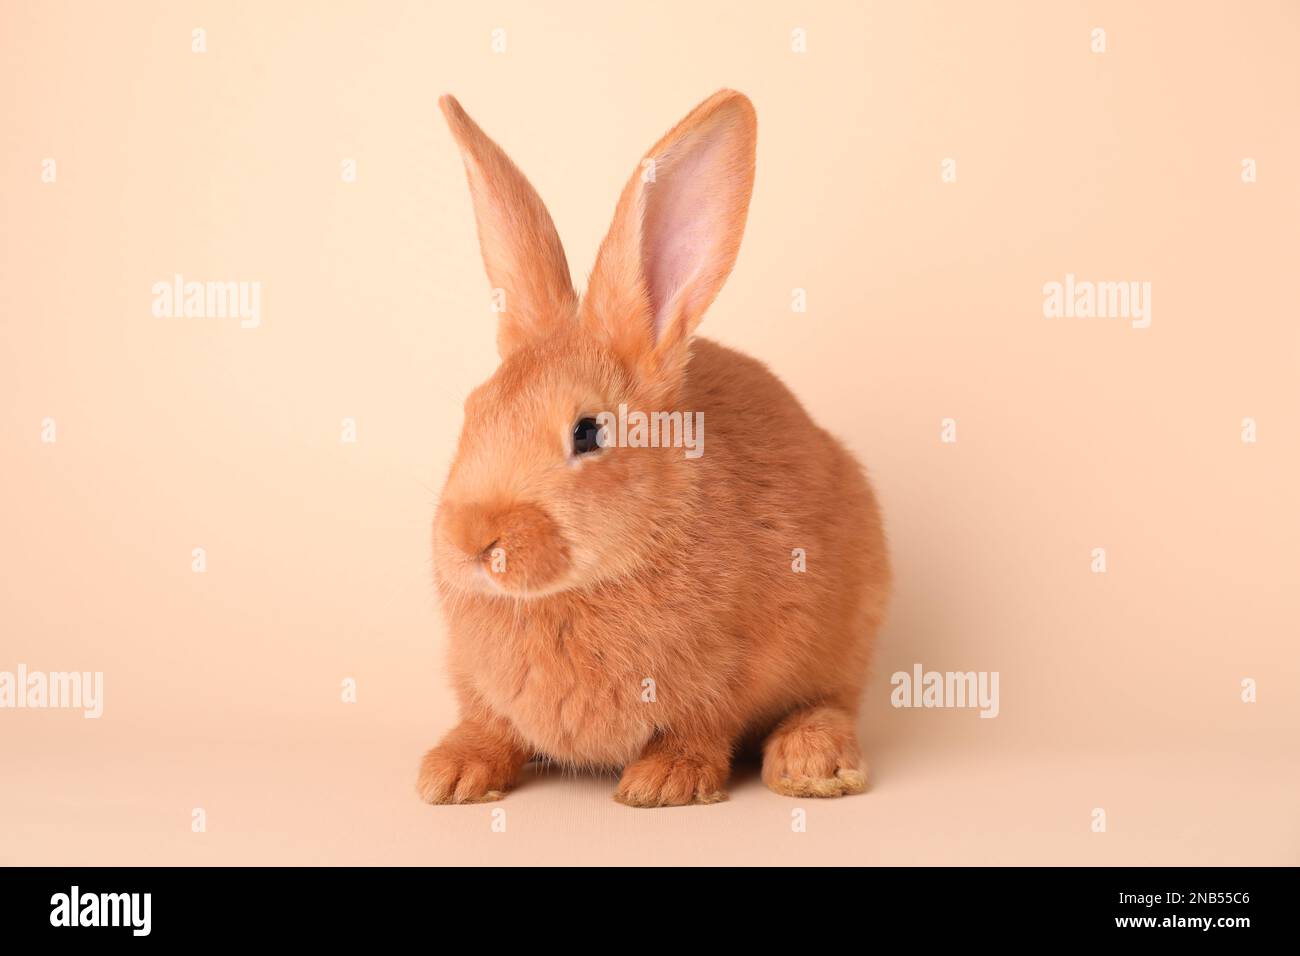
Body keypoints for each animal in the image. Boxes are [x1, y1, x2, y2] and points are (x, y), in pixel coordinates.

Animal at [417, 90, 890, 808]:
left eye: (587, 432)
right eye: (473, 411)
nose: (472, 541)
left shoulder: (734, 668)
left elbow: (702, 725)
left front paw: (664, 782)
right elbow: (489, 723)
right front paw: (451, 773)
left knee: (830, 702)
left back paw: (813, 764)